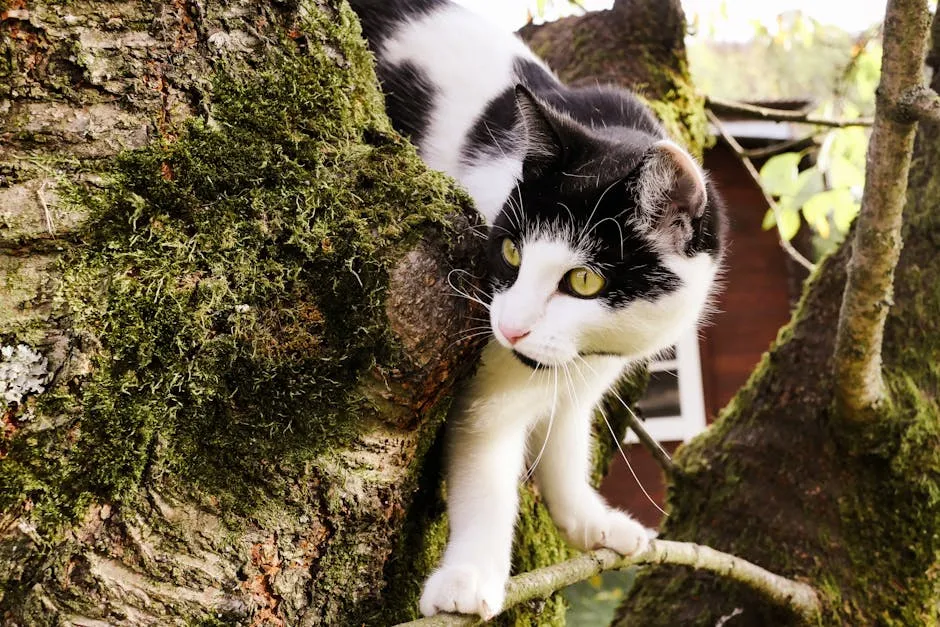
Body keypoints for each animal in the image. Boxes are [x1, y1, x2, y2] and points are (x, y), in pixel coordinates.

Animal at [348, 0, 724, 620]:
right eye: (509, 252)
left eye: (584, 280)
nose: (509, 327)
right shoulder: (485, 390)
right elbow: (487, 476)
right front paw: (469, 575)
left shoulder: (587, 376)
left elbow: (568, 439)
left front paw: (591, 520)